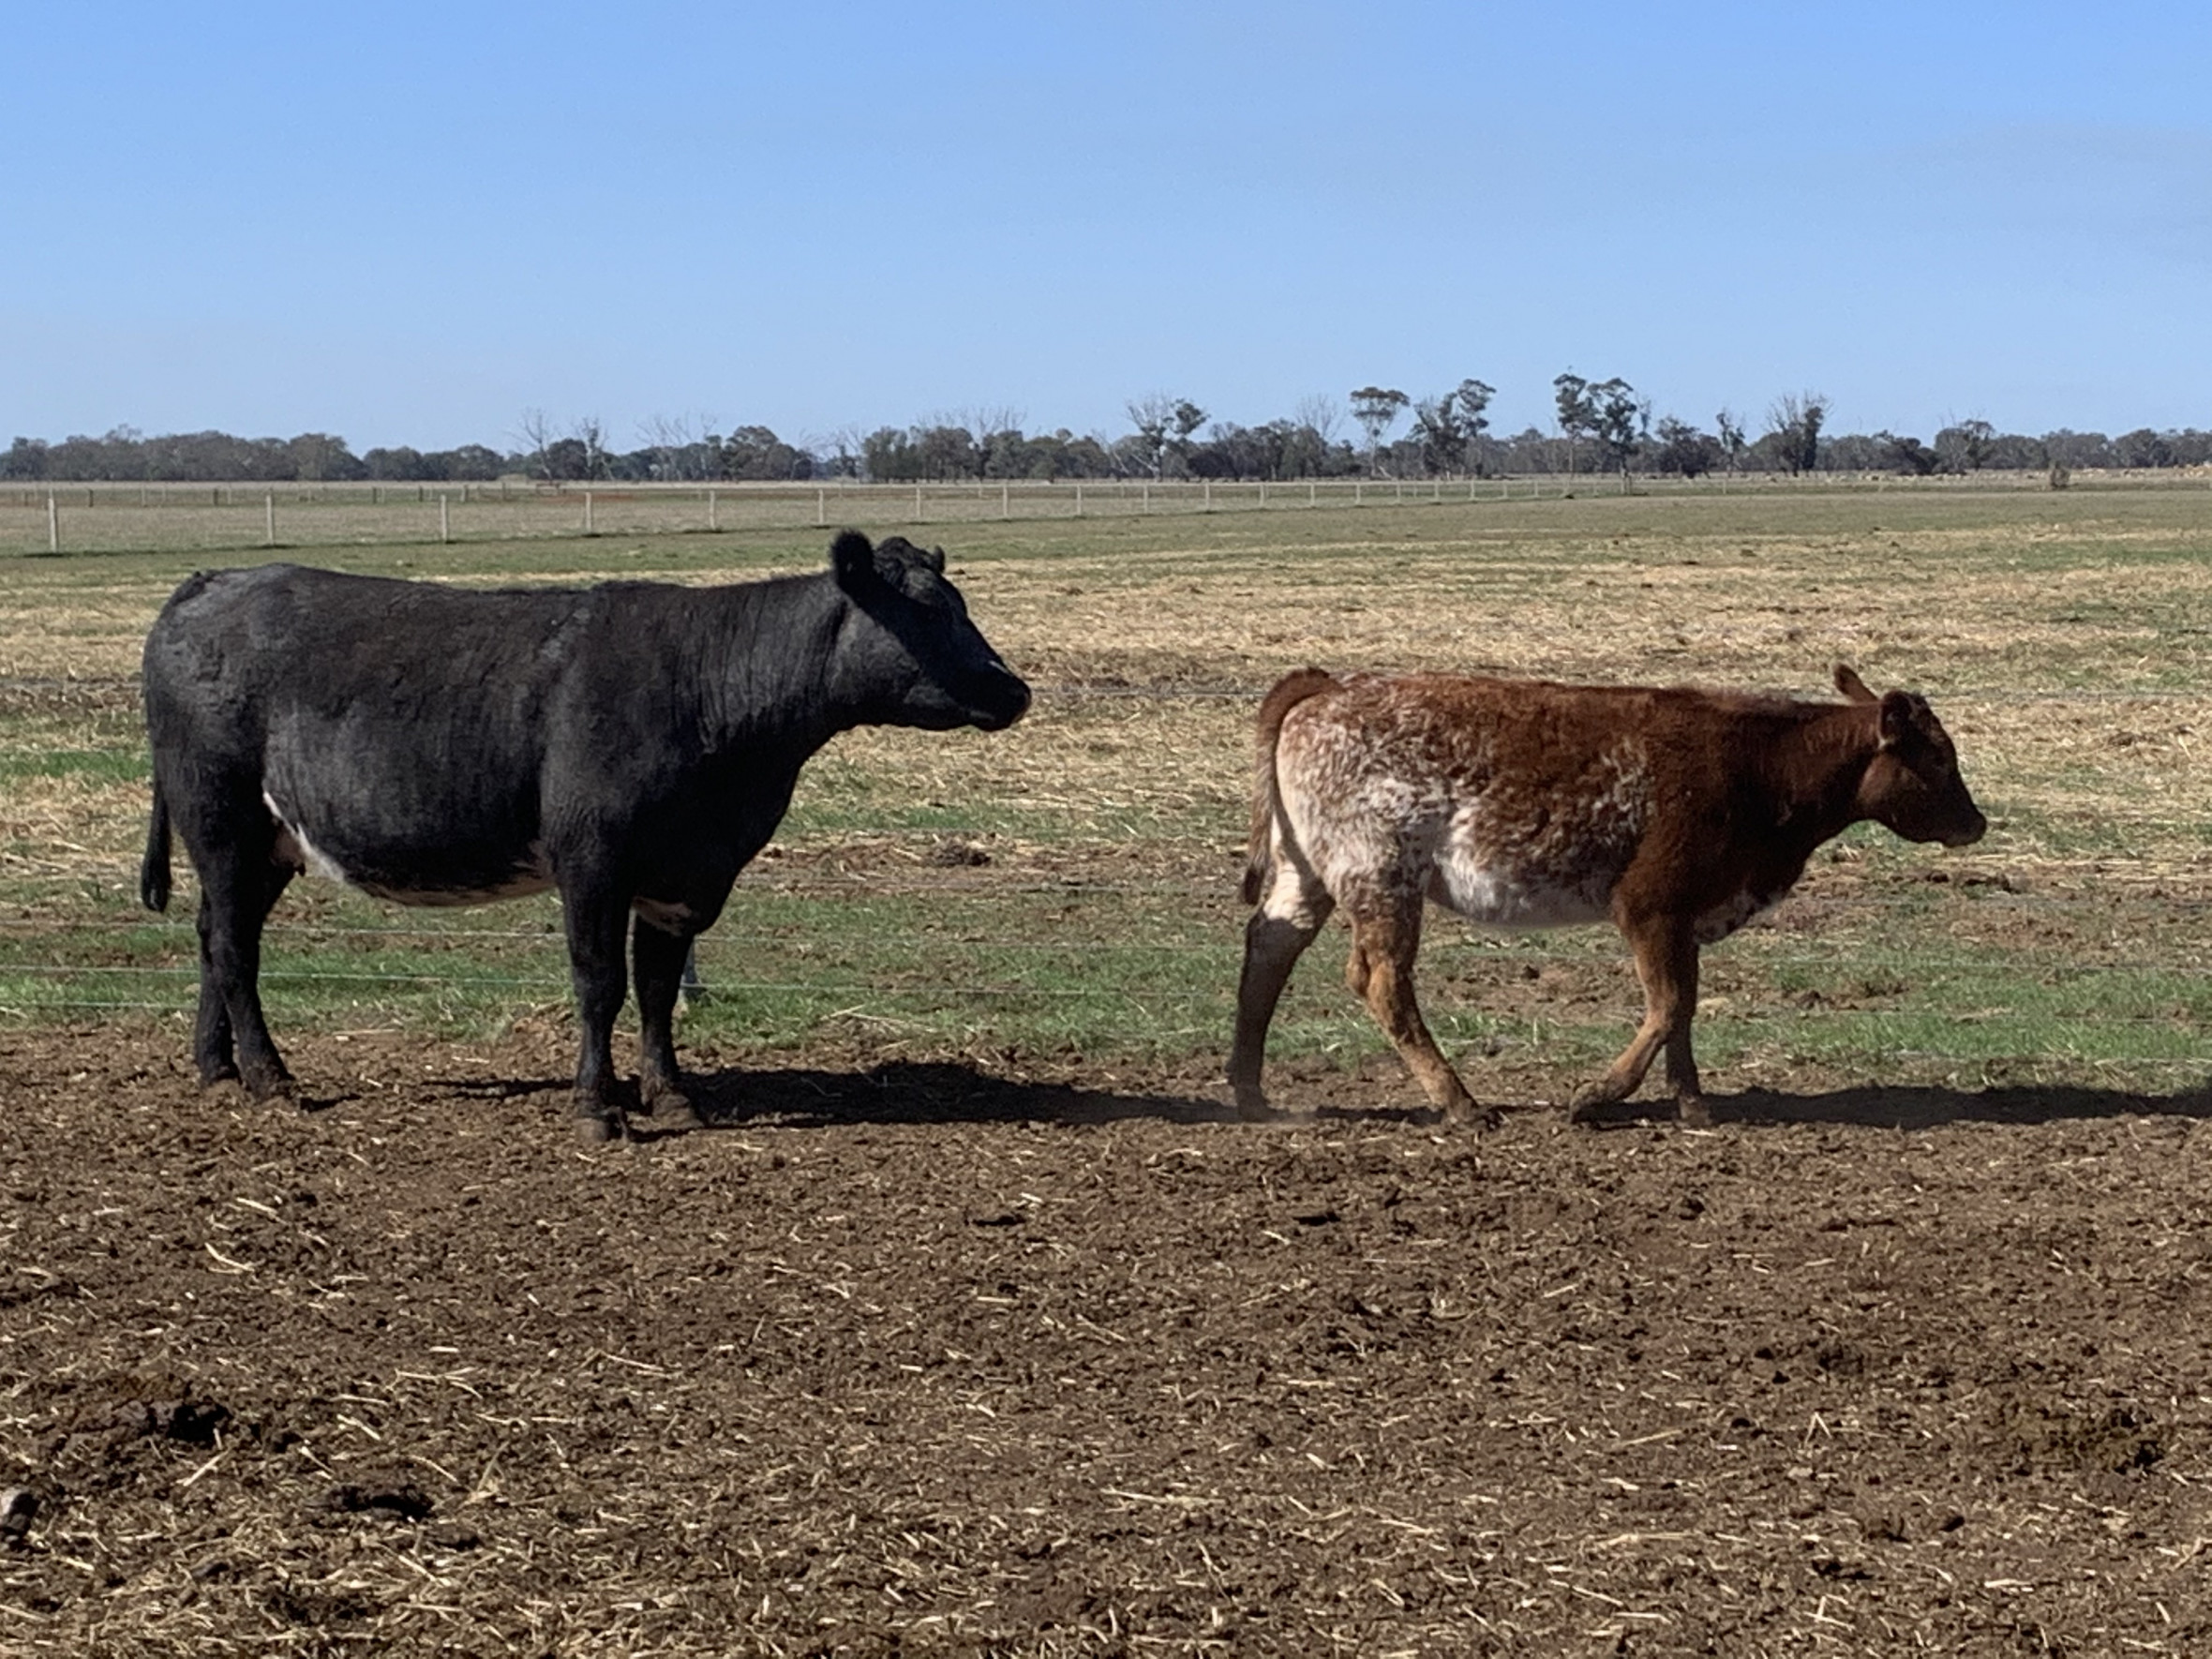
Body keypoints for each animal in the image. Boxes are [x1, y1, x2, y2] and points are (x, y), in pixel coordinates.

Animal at [139, 531, 1031, 1141]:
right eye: (925, 612)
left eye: (958, 605)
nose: (1014, 688)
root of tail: (210, 582)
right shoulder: (592, 859)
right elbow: (600, 983)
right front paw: (598, 1109)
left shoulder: (686, 876)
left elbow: (659, 990)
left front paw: (671, 1096)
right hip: (221, 819)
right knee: (234, 947)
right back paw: (270, 1078)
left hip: (265, 842)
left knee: (215, 935)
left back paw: (216, 1069)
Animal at [1227, 664, 1986, 1129]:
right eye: (1939, 757)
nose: (1976, 823)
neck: (1760, 765)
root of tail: (1325, 690)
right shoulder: (1648, 906)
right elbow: (1669, 1006)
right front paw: (1595, 1096)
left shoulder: (1682, 918)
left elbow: (1683, 1012)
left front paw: (1692, 1105)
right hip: (1382, 877)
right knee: (1381, 982)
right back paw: (1461, 1102)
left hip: (1307, 874)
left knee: (1269, 948)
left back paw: (1250, 1090)